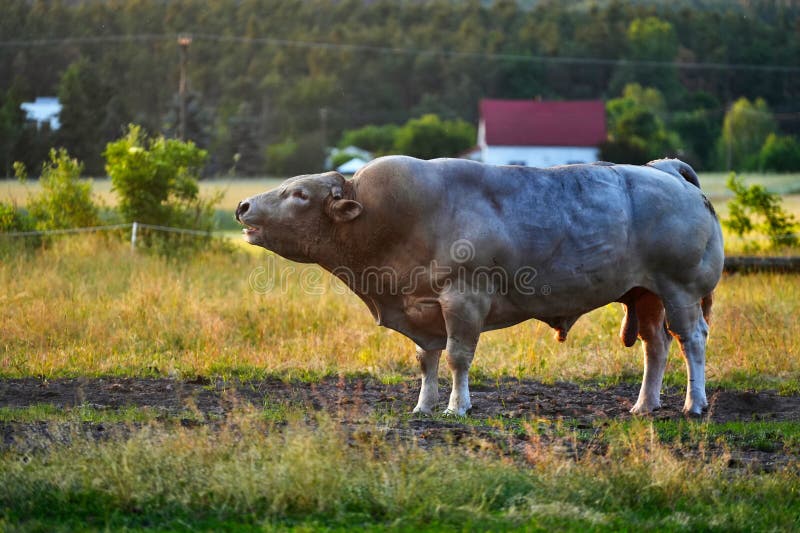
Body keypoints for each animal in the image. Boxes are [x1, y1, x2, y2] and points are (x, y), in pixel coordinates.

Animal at [236, 156, 724, 416]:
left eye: (300, 194)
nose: (242, 206)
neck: (390, 221)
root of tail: (666, 170)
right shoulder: (423, 308)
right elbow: (426, 360)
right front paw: (424, 405)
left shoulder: (462, 299)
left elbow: (457, 357)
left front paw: (457, 406)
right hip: (646, 295)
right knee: (655, 345)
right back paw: (645, 405)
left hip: (680, 291)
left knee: (692, 340)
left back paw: (694, 403)